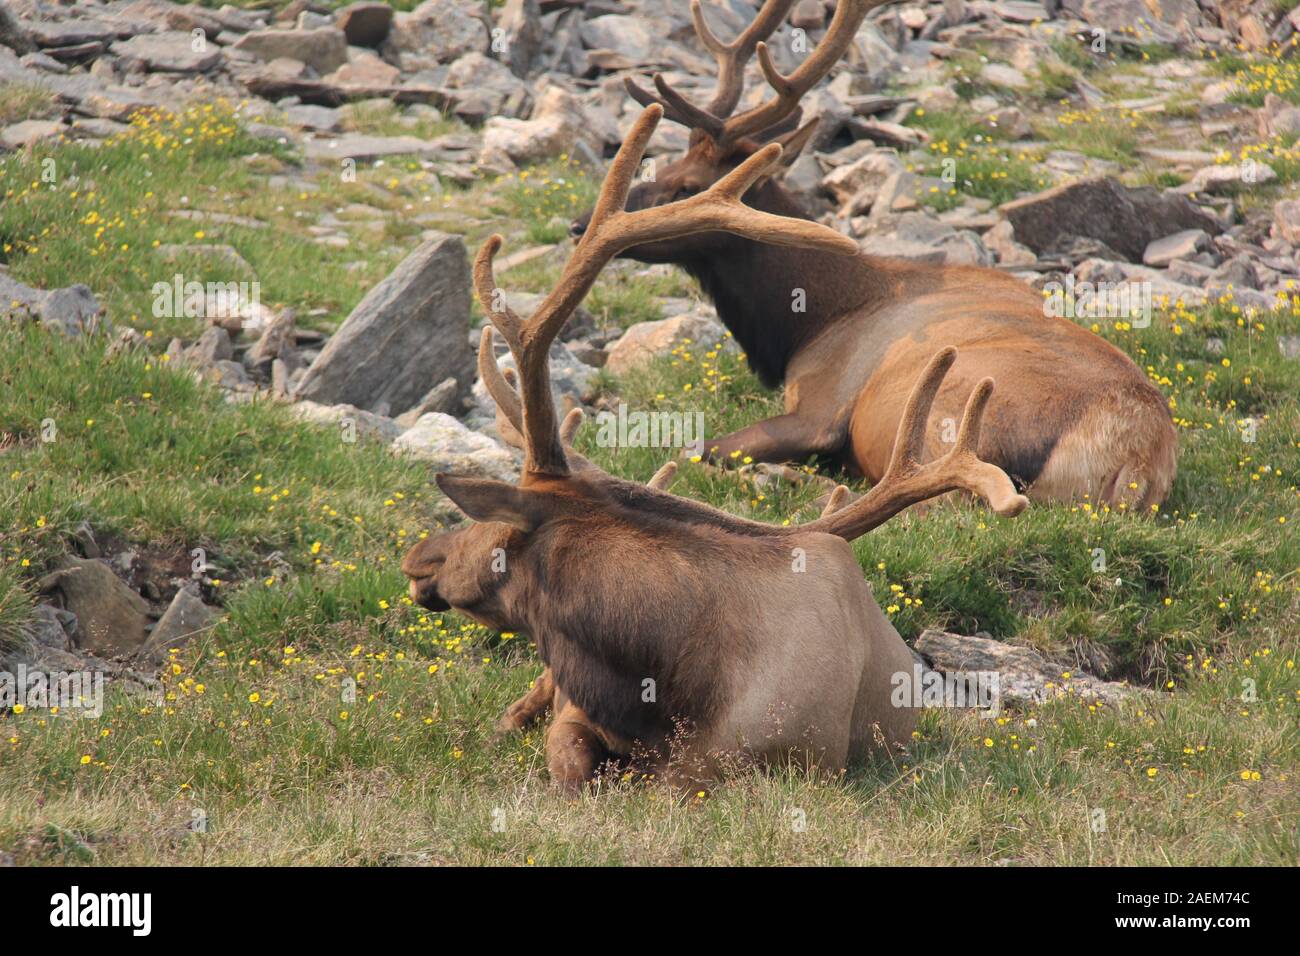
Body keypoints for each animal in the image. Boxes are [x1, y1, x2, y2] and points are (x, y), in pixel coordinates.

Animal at [572, 0, 1178, 510]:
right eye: (668, 167)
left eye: (687, 186)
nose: (580, 224)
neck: (807, 323)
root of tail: (1134, 458)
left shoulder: (820, 405)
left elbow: (701, 446)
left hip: (953, 422)